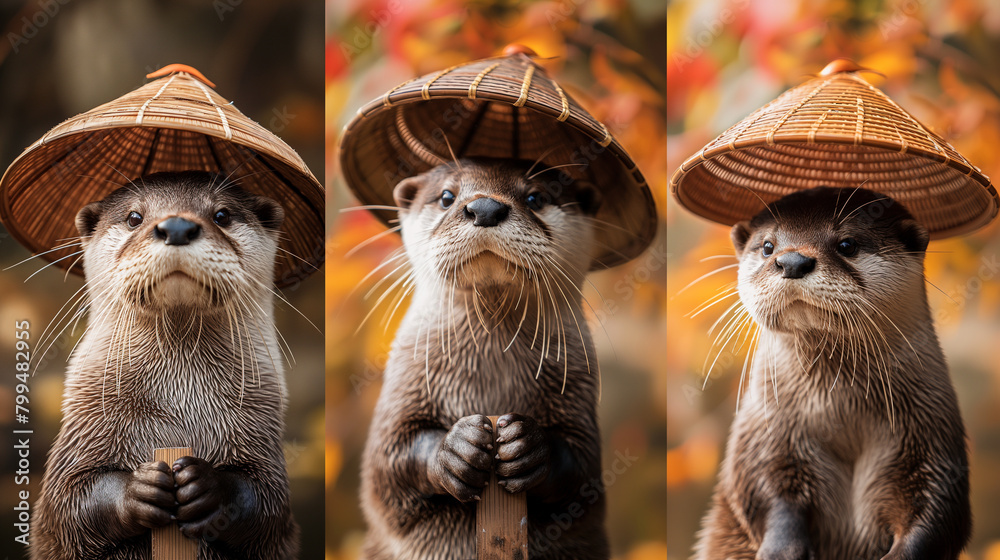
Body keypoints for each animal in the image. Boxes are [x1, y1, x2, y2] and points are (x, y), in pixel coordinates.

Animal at [32, 171, 299, 559]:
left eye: (222, 215)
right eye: (133, 217)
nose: (177, 226)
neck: (177, 408)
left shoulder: (263, 436)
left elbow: (270, 505)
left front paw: (208, 488)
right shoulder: (80, 439)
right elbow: (66, 505)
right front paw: (138, 489)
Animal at [360, 157, 609, 559]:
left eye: (536, 197)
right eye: (446, 196)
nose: (486, 208)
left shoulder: (578, 398)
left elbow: (583, 472)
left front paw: (529, 447)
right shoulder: (402, 393)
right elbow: (386, 467)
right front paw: (457, 449)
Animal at [694, 187, 970, 559]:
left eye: (847, 244)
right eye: (767, 246)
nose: (792, 261)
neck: (844, 419)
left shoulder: (933, 446)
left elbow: (937, 512)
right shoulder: (768, 438)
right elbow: (767, 495)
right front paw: (781, 551)